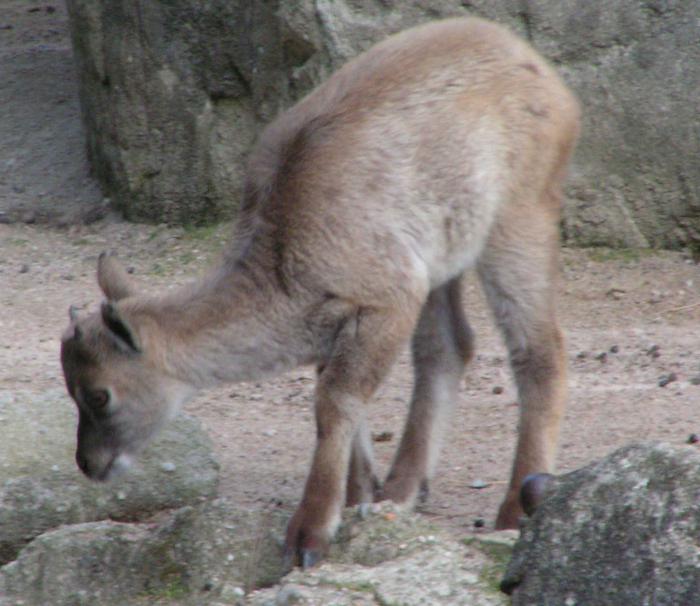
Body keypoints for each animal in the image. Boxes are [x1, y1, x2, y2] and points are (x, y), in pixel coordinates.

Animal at [61, 17, 580, 568]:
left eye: (99, 394)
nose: (89, 462)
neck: (284, 265)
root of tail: (551, 81)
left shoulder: (387, 298)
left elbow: (335, 399)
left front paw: (309, 534)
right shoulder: (353, 317)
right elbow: (342, 396)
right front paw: (358, 497)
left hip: (519, 216)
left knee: (538, 348)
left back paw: (512, 511)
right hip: (444, 257)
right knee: (449, 347)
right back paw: (402, 491)